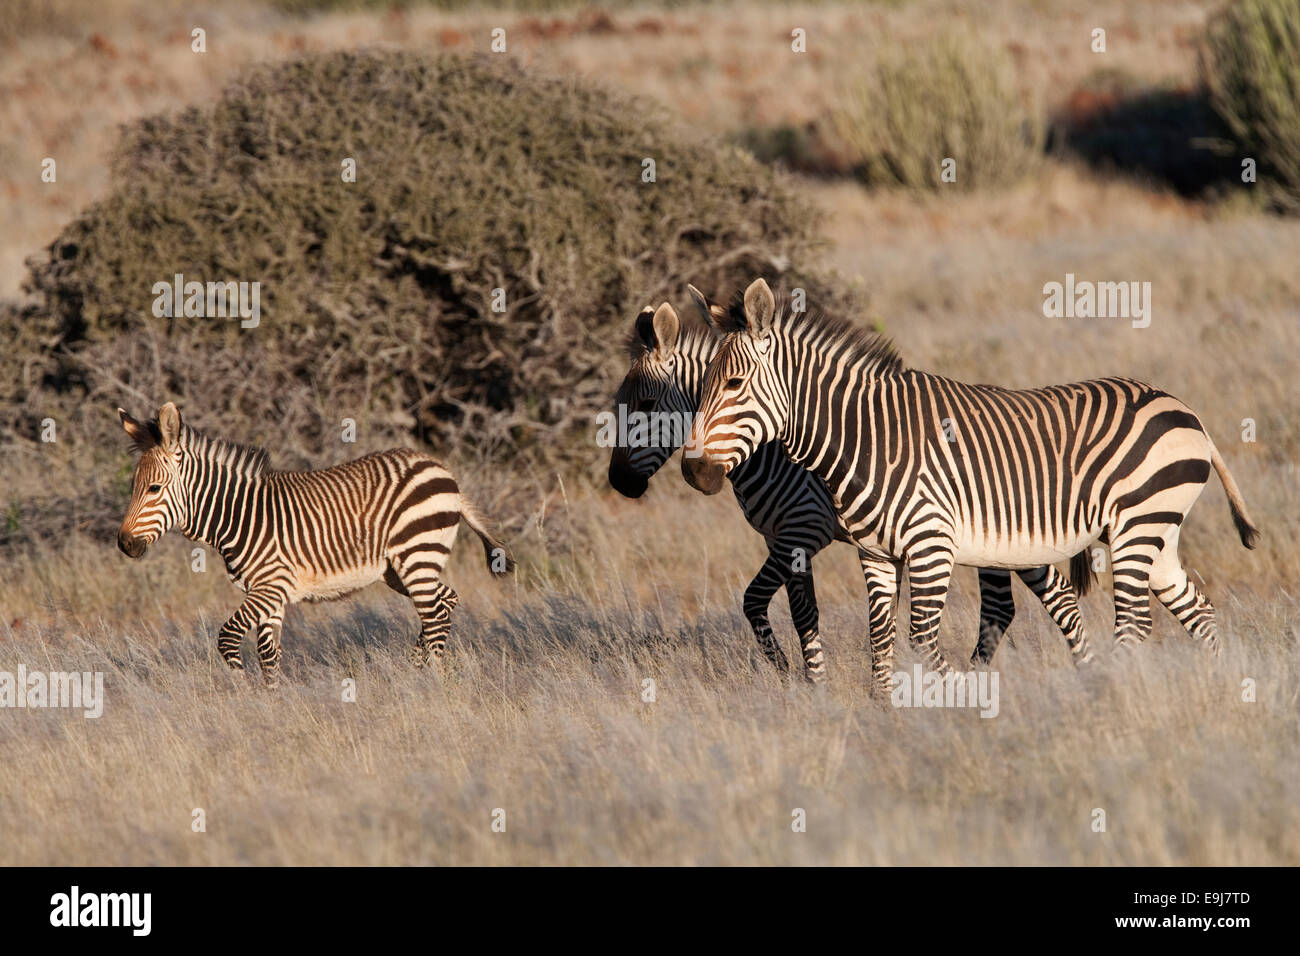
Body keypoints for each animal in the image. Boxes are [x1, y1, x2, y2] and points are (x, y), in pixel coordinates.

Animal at [116, 402, 514, 685]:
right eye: (134, 487)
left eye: (154, 488)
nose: (124, 545)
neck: (240, 515)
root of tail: (440, 467)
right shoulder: (269, 595)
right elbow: (268, 655)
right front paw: (270, 706)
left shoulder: (270, 587)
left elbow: (228, 638)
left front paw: (243, 693)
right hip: (401, 569)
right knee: (446, 601)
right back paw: (421, 671)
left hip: (417, 555)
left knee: (434, 615)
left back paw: (429, 681)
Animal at [608, 300, 1095, 685]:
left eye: (646, 405)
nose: (618, 483)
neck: (767, 448)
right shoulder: (781, 537)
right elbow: (792, 608)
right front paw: (806, 679)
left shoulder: (803, 529)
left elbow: (769, 604)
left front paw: (796, 676)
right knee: (1025, 602)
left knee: (1023, 603)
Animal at [682, 279, 1258, 685]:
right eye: (702, 385)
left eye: (734, 383)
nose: (694, 470)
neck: (867, 437)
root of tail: (1185, 409)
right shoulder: (876, 553)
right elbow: (881, 640)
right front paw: (886, 719)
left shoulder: (930, 546)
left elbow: (921, 641)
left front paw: (953, 707)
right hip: (1157, 534)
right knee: (1197, 611)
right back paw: (1216, 691)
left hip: (1140, 525)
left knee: (1135, 626)